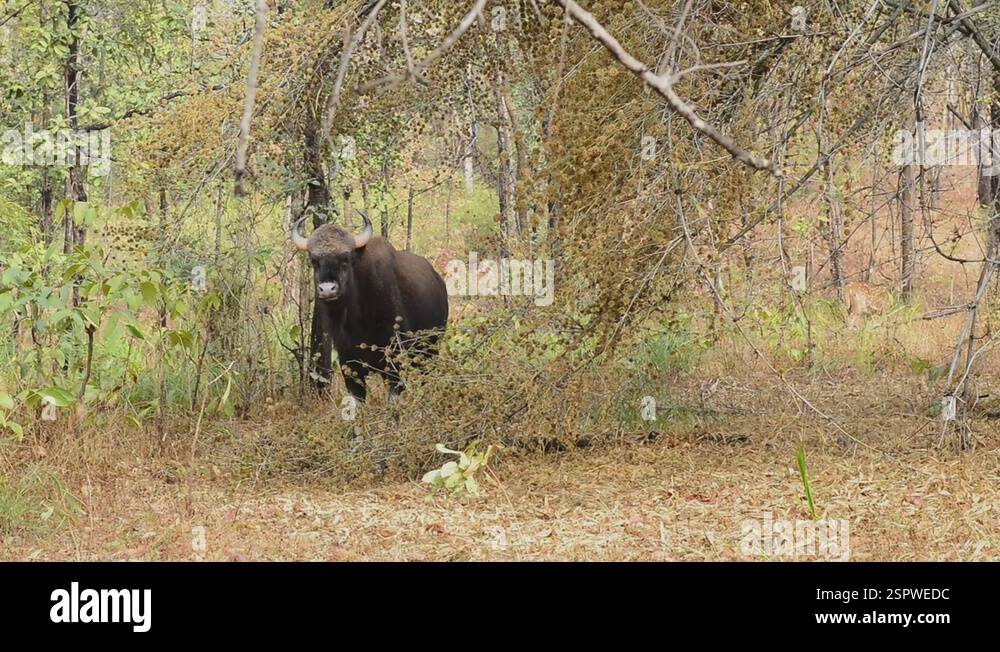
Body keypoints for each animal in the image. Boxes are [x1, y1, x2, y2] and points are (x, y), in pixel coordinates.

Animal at [291, 210, 448, 402]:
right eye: (314, 260)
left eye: (345, 258)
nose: (327, 289)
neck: (357, 317)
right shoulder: (348, 363)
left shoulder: (394, 358)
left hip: (430, 351)